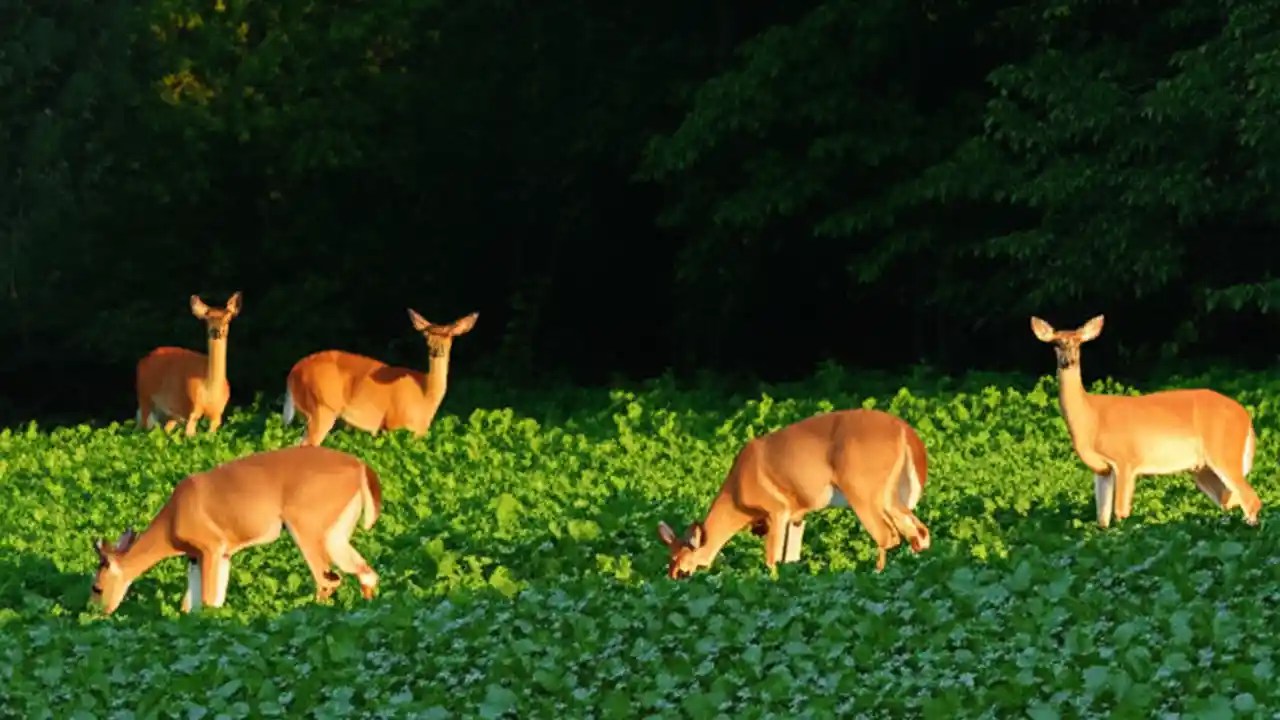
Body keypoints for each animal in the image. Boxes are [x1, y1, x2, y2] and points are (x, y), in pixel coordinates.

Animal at [89, 445, 383, 616]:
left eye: (97, 587)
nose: (96, 614)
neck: (172, 523)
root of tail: (361, 467)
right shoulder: (210, 554)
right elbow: (196, 604)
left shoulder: (210, 545)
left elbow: (208, 600)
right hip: (336, 531)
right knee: (366, 572)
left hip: (307, 524)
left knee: (328, 579)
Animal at [135, 291, 243, 436]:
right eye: (207, 320)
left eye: (228, 319)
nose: (216, 331)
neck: (210, 389)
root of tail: (144, 359)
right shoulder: (192, 410)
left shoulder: (217, 415)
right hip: (144, 398)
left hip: (170, 414)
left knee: (164, 430)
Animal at [283, 309, 478, 446]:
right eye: (426, 335)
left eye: (450, 335)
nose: (436, 350)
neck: (425, 394)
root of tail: (293, 372)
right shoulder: (394, 424)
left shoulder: (417, 432)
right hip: (321, 406)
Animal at [656, 408, 931, 579]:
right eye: (668, 557)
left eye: (680, 560)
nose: (672, 577)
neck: (737, 494)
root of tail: (906, 433)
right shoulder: (798, 514)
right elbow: (791, 558)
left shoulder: (776, 509)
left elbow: (772, 558)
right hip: (891, 494)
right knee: (919, 533)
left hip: (863, 489)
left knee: (888, 535)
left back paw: (876, 575)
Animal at [1030, 314, 1263, 528]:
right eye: (1056, 343)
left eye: (1079, 342)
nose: (1068, 361)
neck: (1090, 418)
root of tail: (1246, 417)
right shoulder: (1102, 470)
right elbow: (1102, 519)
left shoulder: (1125, 459)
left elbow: (1121, 512)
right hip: (1202, 469)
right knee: (1229, 500)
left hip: (1224, 451)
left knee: (1250, 499)